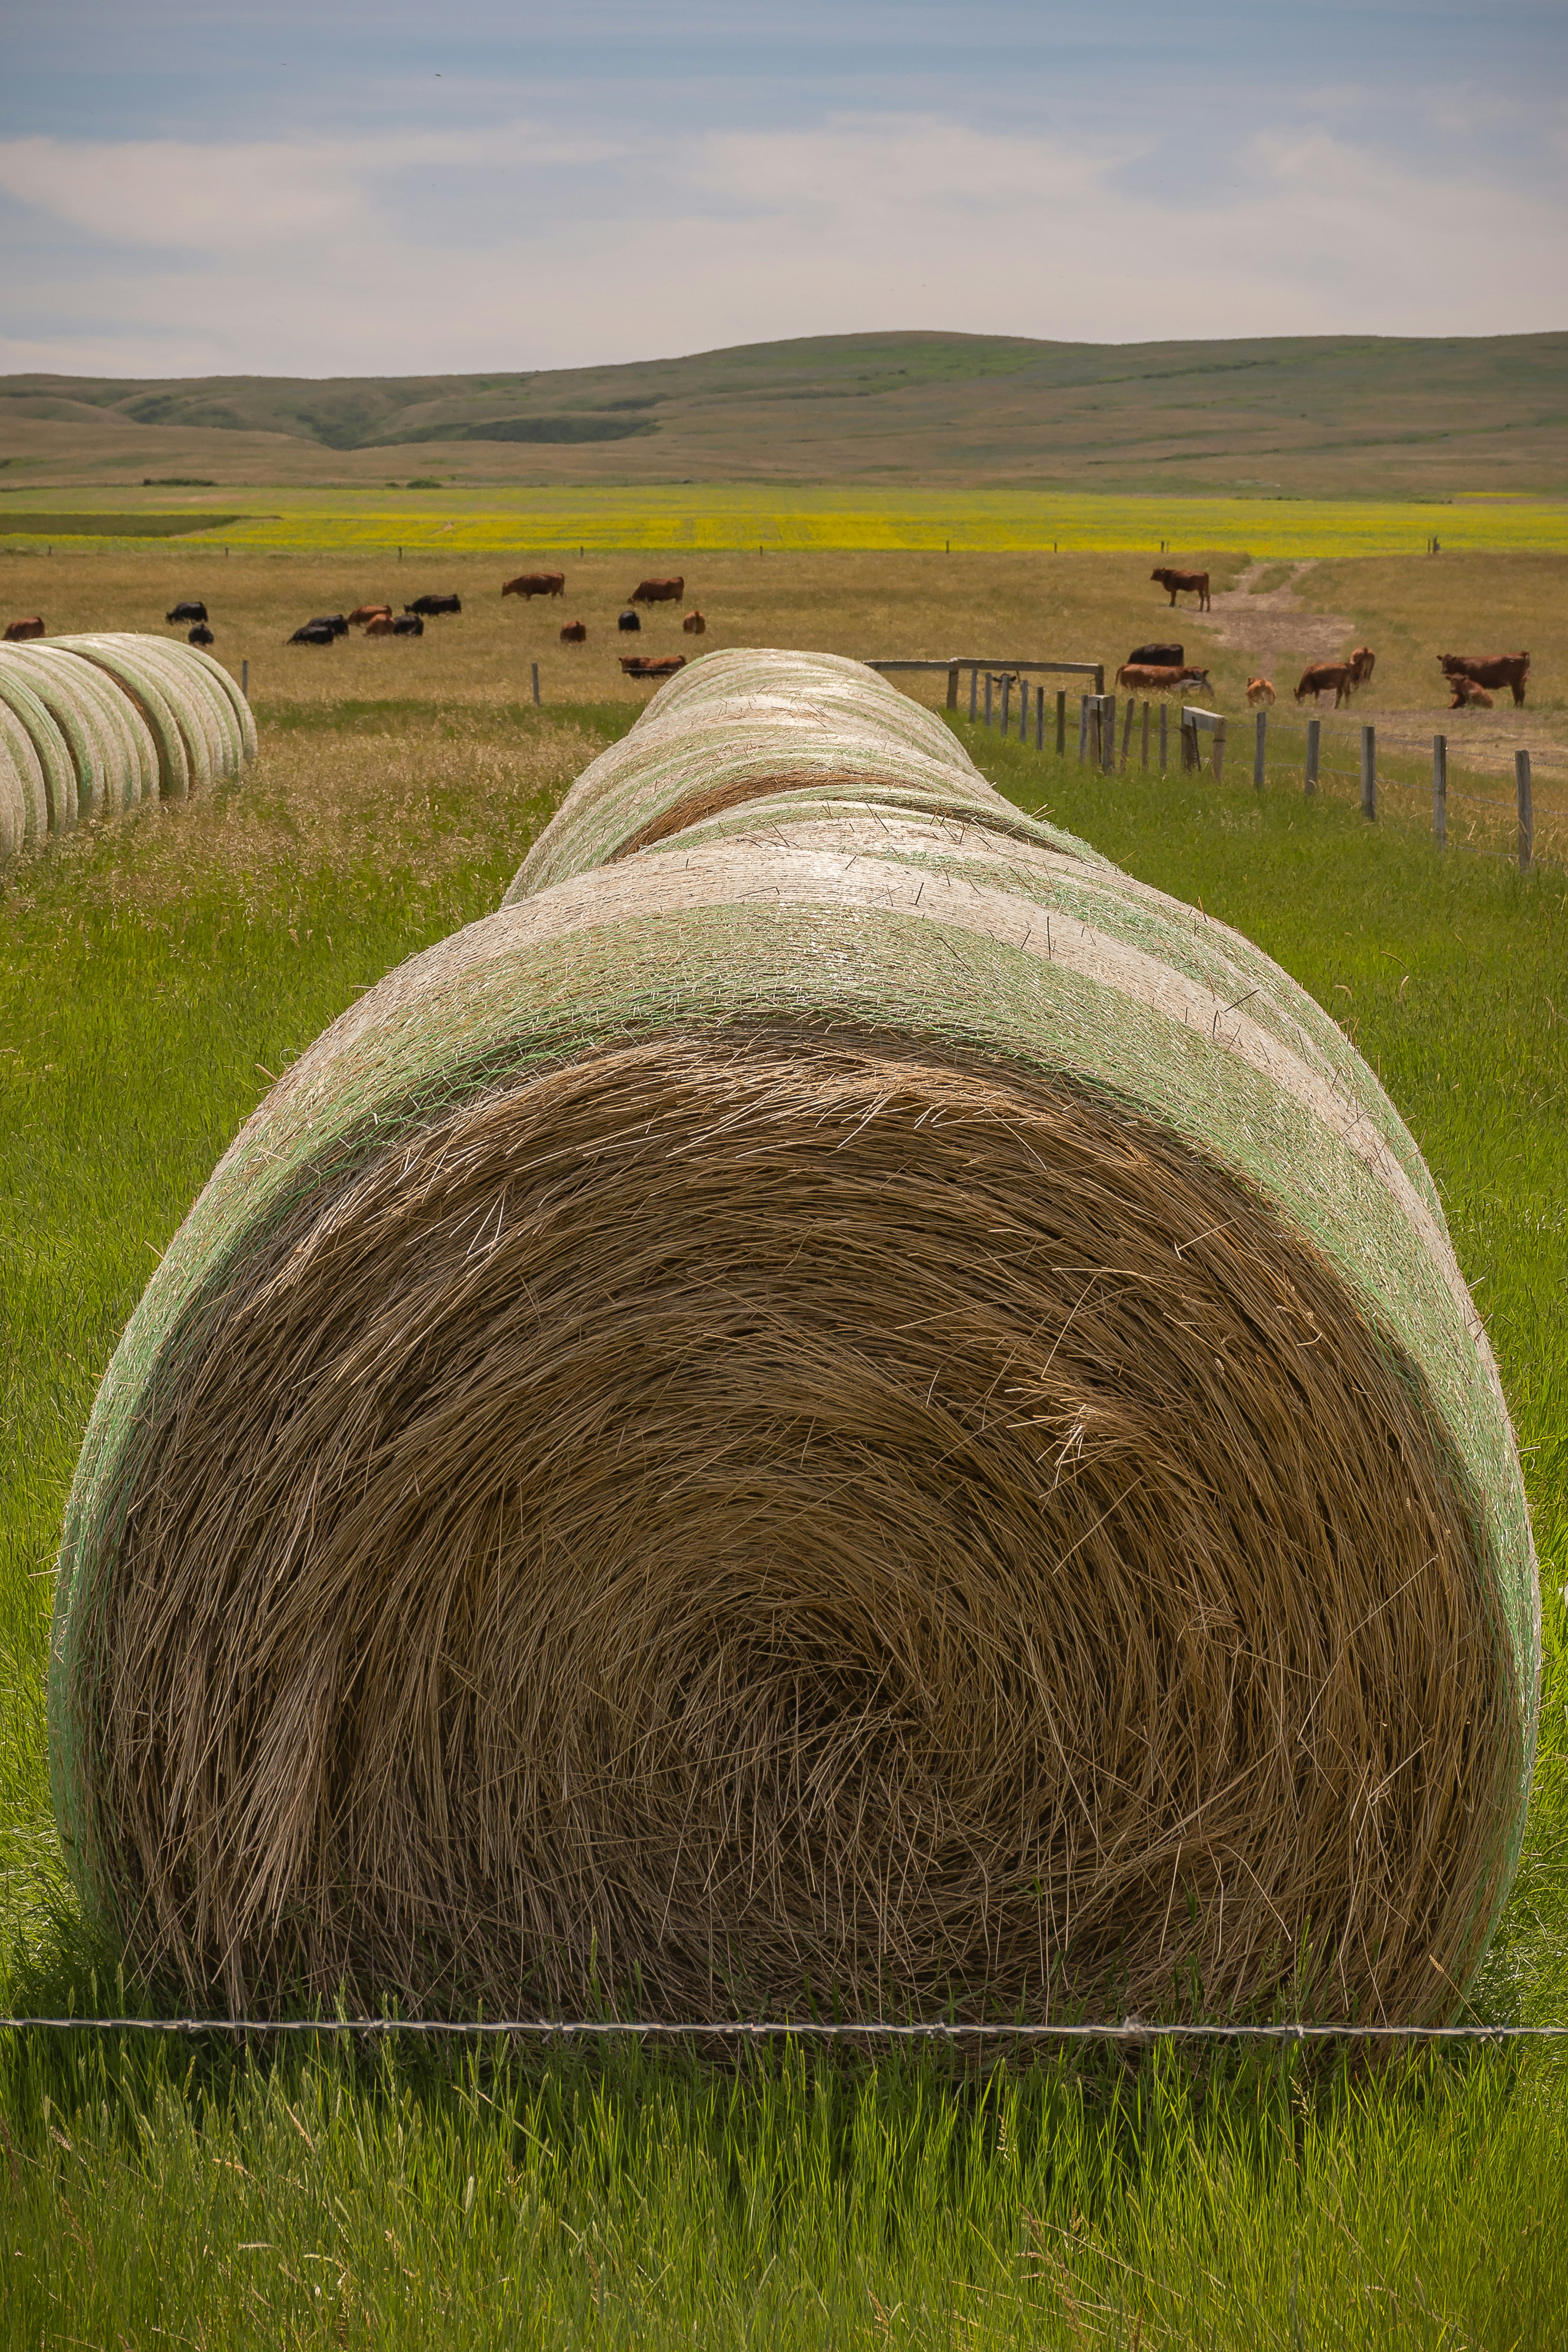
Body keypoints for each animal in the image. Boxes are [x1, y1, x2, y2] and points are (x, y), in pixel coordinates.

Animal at [502, 572, 565, 600]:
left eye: (505, 588)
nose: (502, 595)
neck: (521, 581)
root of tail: (560, 574)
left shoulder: (528, 594)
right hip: (559, 591)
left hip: (555, 591)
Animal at [1295, 662, 1359, 708]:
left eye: (1298, 697)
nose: (1299, 705)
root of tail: (1346, 666)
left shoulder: (1317, 688)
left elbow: (1316, 697)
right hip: (1346, 684)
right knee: (1347, 693)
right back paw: (1346, 707)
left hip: (1340, 685)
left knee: (1340, 694)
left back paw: (1335, 707)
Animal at [1439, 652, 1529, 707]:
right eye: (1443, 661)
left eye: (1450, 662)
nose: (1444, 671)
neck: (1463, 664)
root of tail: (1521, 653)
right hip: (1520, 683)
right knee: (1521, 695)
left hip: (1516, 683)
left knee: (1518, 695)